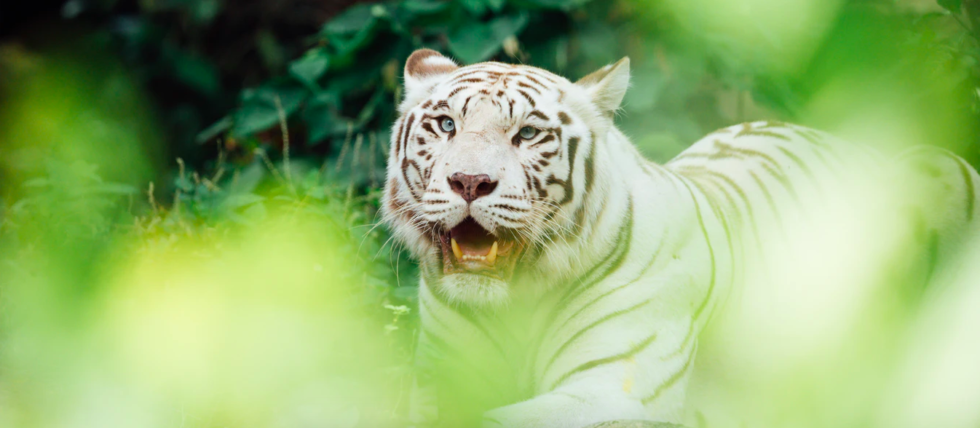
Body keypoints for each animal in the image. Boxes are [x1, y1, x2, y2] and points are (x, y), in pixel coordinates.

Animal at [380, 48, 980, 428]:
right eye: (447, 126)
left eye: (527, 133)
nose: (469, 181)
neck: (517, 304)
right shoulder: (439, 382)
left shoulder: (613, 392)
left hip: (938, 164)